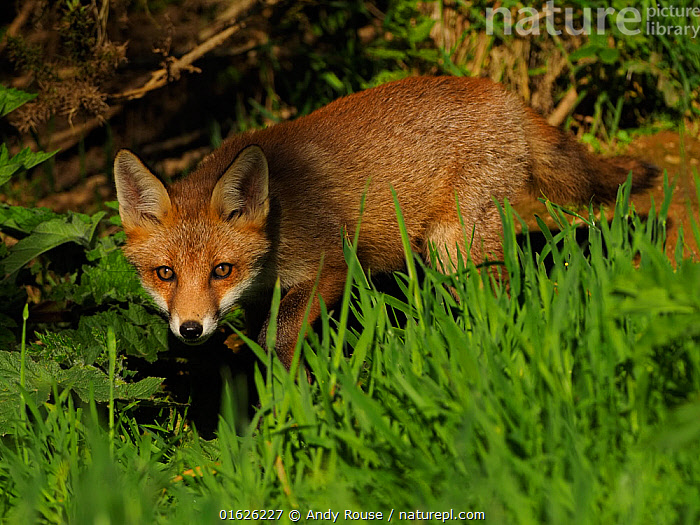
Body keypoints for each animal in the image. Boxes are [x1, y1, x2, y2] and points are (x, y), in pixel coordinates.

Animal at [114, 75, 658, 369]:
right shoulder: (259, 298)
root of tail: (501, 93)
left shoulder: (330, 265)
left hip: (453, 247)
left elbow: (278, 337)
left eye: (220, 270)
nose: (189, 330)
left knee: (500, 297)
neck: (280, 218)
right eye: (165, 274)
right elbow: (261, 340)